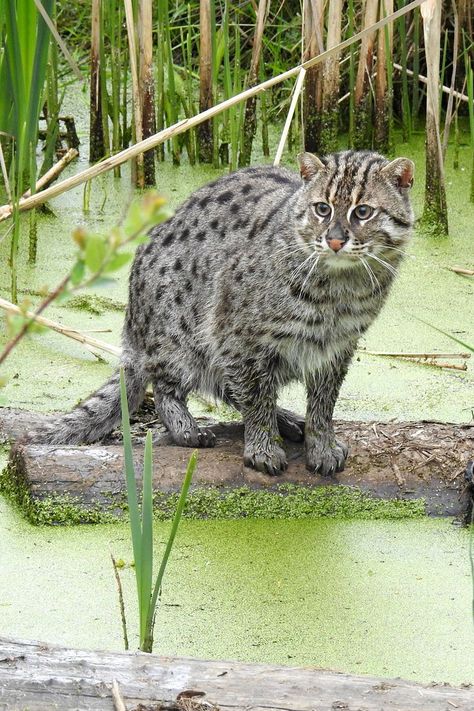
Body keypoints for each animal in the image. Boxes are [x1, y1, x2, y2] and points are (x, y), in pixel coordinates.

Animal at [30, 152, 414, 478]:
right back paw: (187, 429)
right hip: (181, 339)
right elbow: (256, 399)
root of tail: (133, 333)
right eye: (322, 208)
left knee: (228, 389)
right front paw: (262, 449)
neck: (340, 287)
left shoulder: (337, 347)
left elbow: (323, 404)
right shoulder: (238, 336)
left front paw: (321, 446)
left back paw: (287, 419)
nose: (334, 240)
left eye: (363, 212)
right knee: (168, 387)